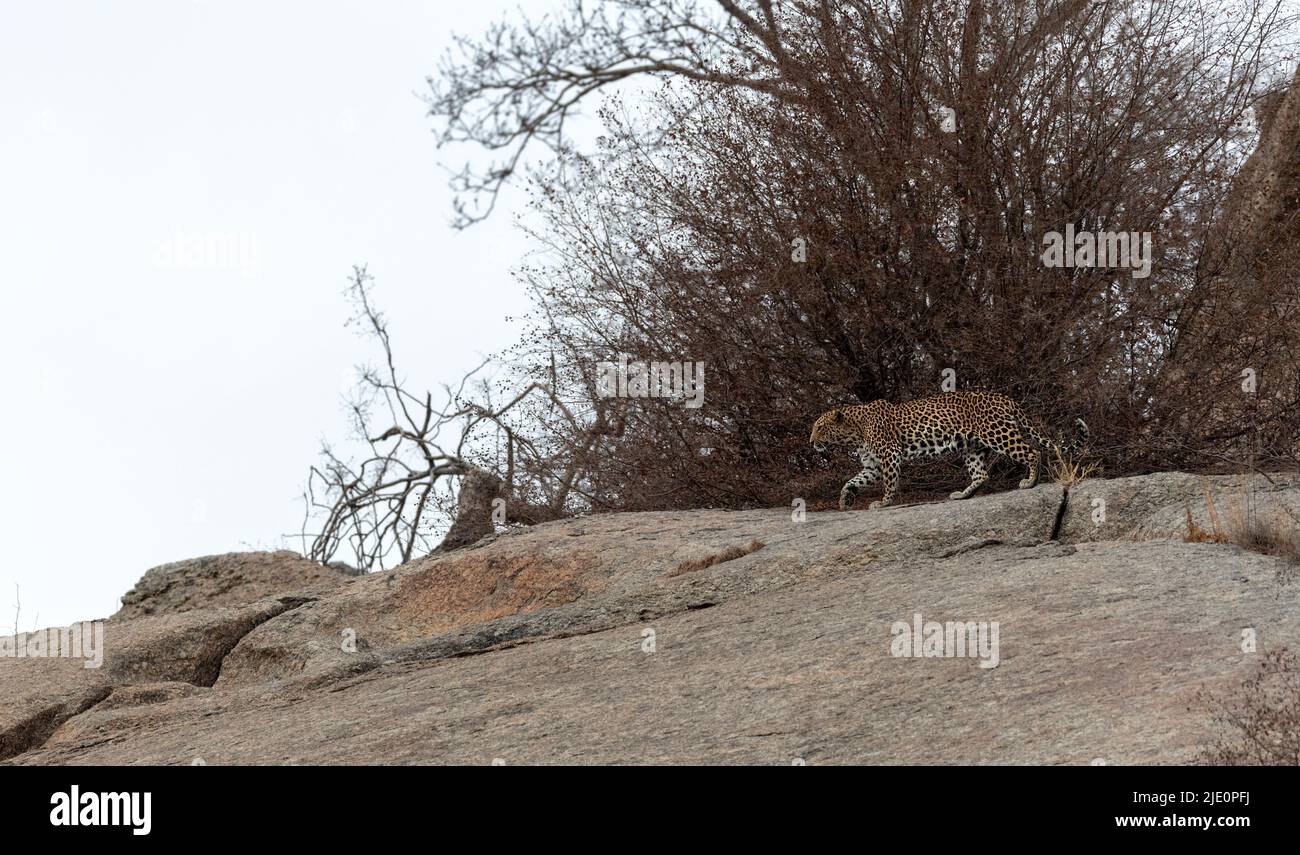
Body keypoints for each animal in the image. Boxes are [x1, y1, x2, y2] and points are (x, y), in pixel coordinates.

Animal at [809, 391, 1089, 510]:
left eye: (819, 427)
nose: (811, 441)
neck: (854, 432)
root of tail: (1006, 398)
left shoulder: (889, 454)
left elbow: (890, 482)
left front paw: (884, 502)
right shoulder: (873, 465)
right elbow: (852, 481)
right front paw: (845, 500)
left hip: (997, 434)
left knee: (1032, 452)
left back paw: (1030, 482)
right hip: (973, 448)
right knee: (981, 474)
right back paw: (962, 495)